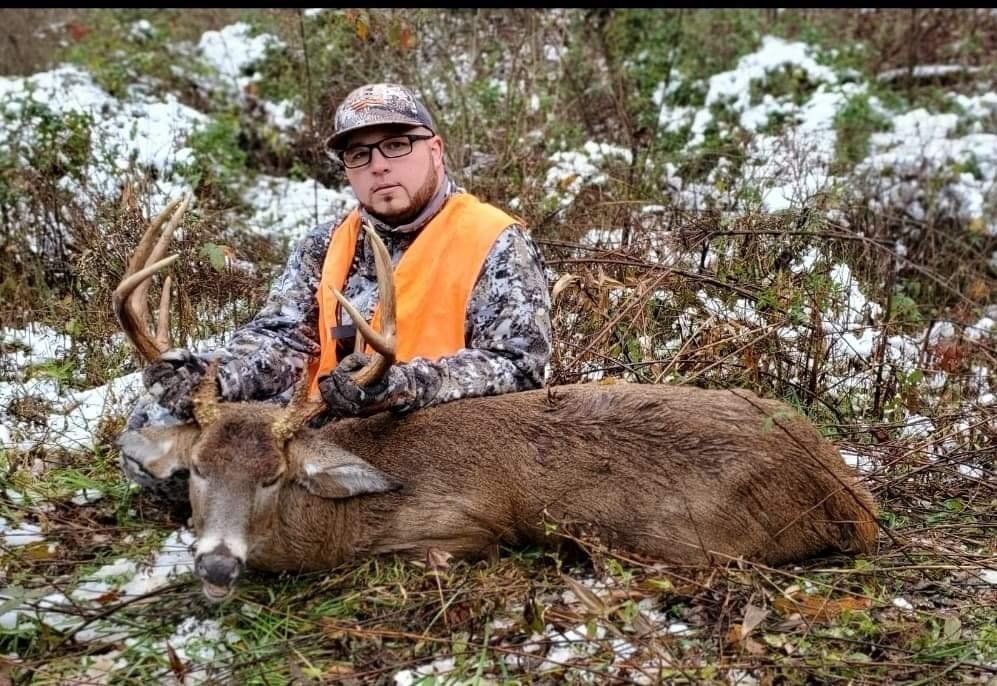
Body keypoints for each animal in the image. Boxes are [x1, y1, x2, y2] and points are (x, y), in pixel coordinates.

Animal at [113, 195, 879, 602]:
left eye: (273, 476)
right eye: (197, 469)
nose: (217, 565)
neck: (334, 521)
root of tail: (849, 498)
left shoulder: (457, 526)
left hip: (680, 541)